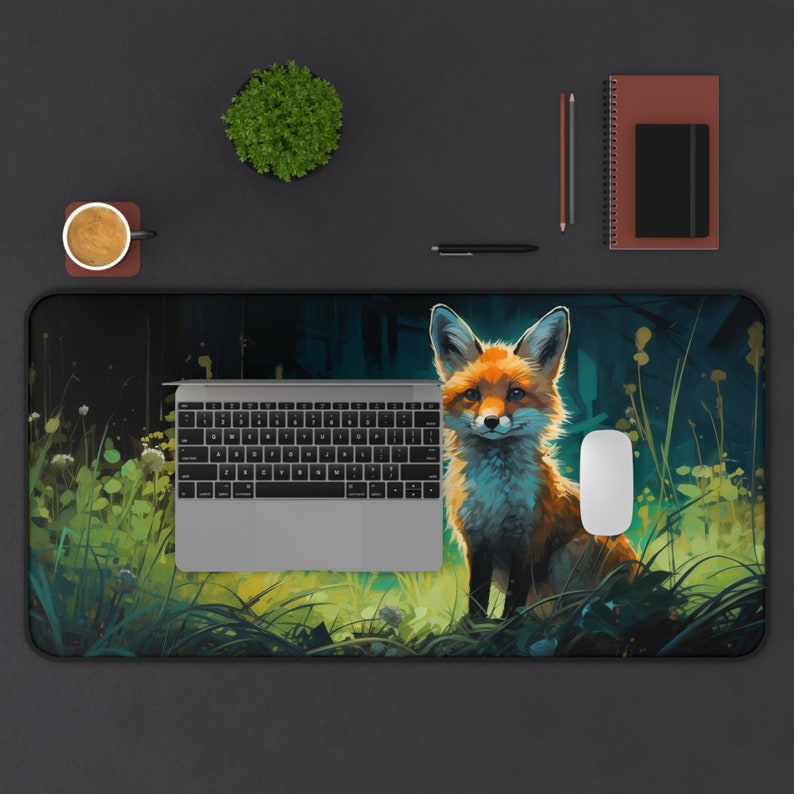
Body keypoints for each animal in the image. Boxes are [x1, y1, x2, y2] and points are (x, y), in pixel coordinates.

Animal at [429, 304, 636, 619]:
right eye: (472, 394)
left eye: (516, 393)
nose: (491, 421)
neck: (497, 495)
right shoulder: (477, 541)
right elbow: (477, 596)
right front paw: (474, 626)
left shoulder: (529, 541)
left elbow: (514, 597)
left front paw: (505, 626)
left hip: (571, 554)